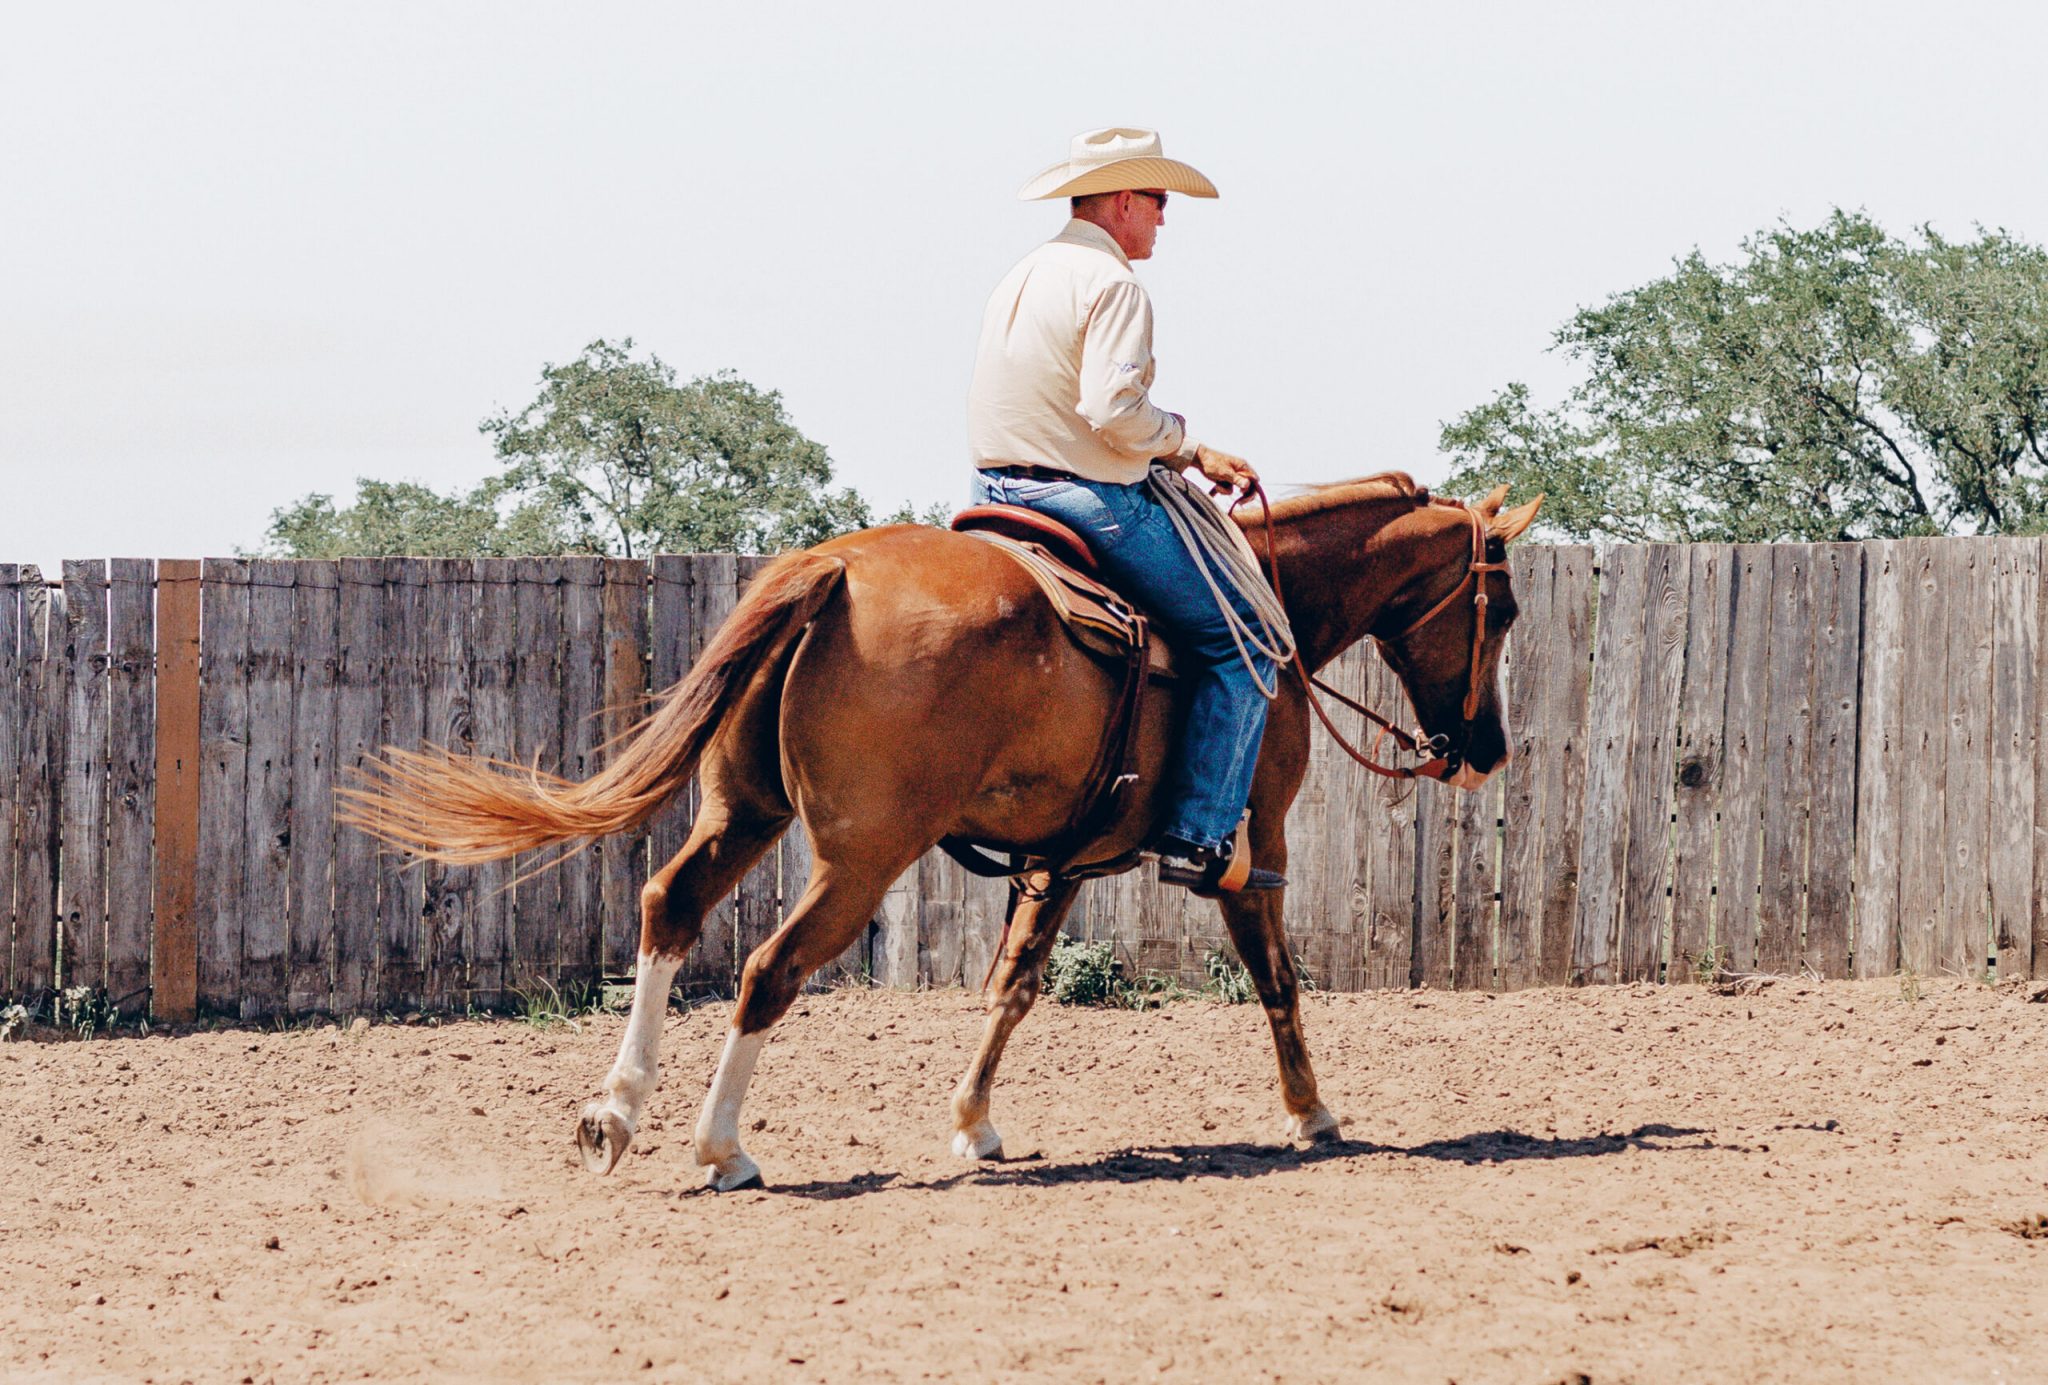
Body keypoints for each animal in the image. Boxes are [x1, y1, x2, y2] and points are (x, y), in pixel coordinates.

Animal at [343, 473, 1543, 1190]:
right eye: (1506, 609)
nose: (1481, 745)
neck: (1274, 614)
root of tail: (834, 570)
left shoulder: (1063, 859)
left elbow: (1012, 984)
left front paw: (972, 1122)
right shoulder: (1255, 856)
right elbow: (1278, 983)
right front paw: (1313, 1111)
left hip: (744, 811)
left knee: (668, 908)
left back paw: (616, 1110)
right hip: (861, 855)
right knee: (769, 970)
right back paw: (723, 1147)